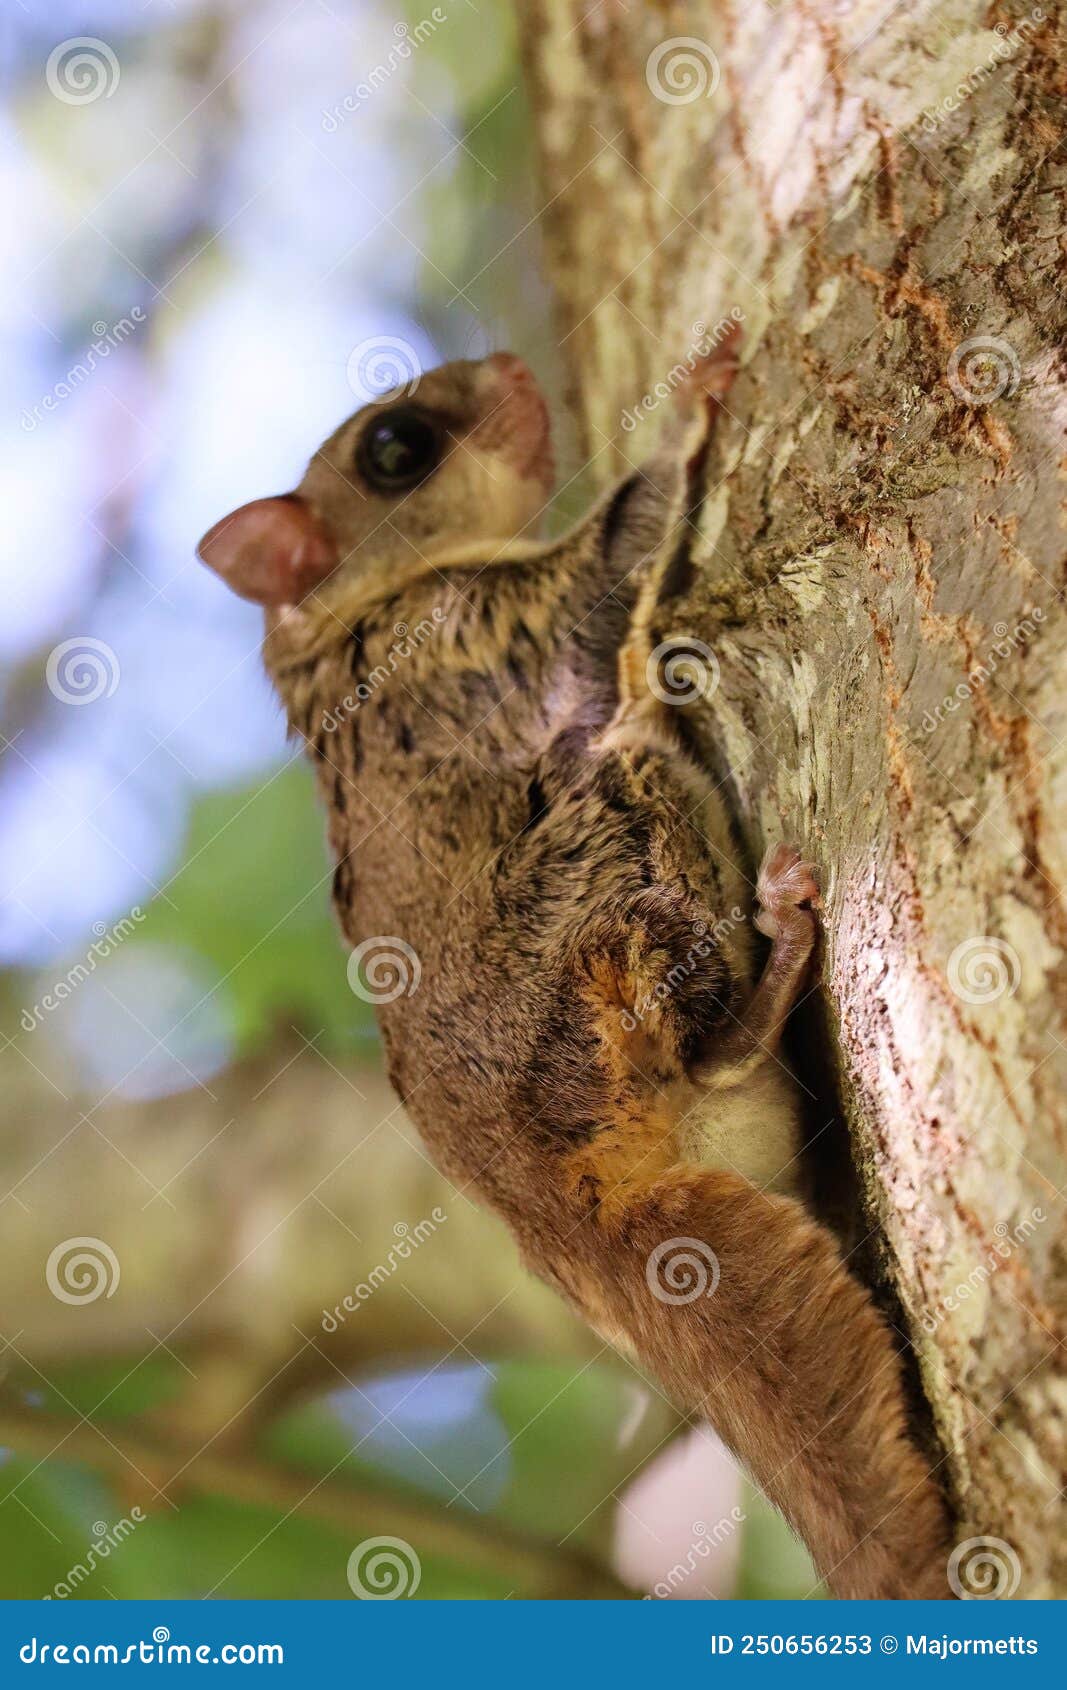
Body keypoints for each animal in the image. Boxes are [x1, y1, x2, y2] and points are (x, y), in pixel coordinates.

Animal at [198, 333, 953, 1599]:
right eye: (393, 446)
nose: (508, 361)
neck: (357, 609)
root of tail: (566, 1208)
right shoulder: (483, 629)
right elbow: (609, 567)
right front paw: (695, 391)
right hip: (614, 852)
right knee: (696, 1027)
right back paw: (779, 952)